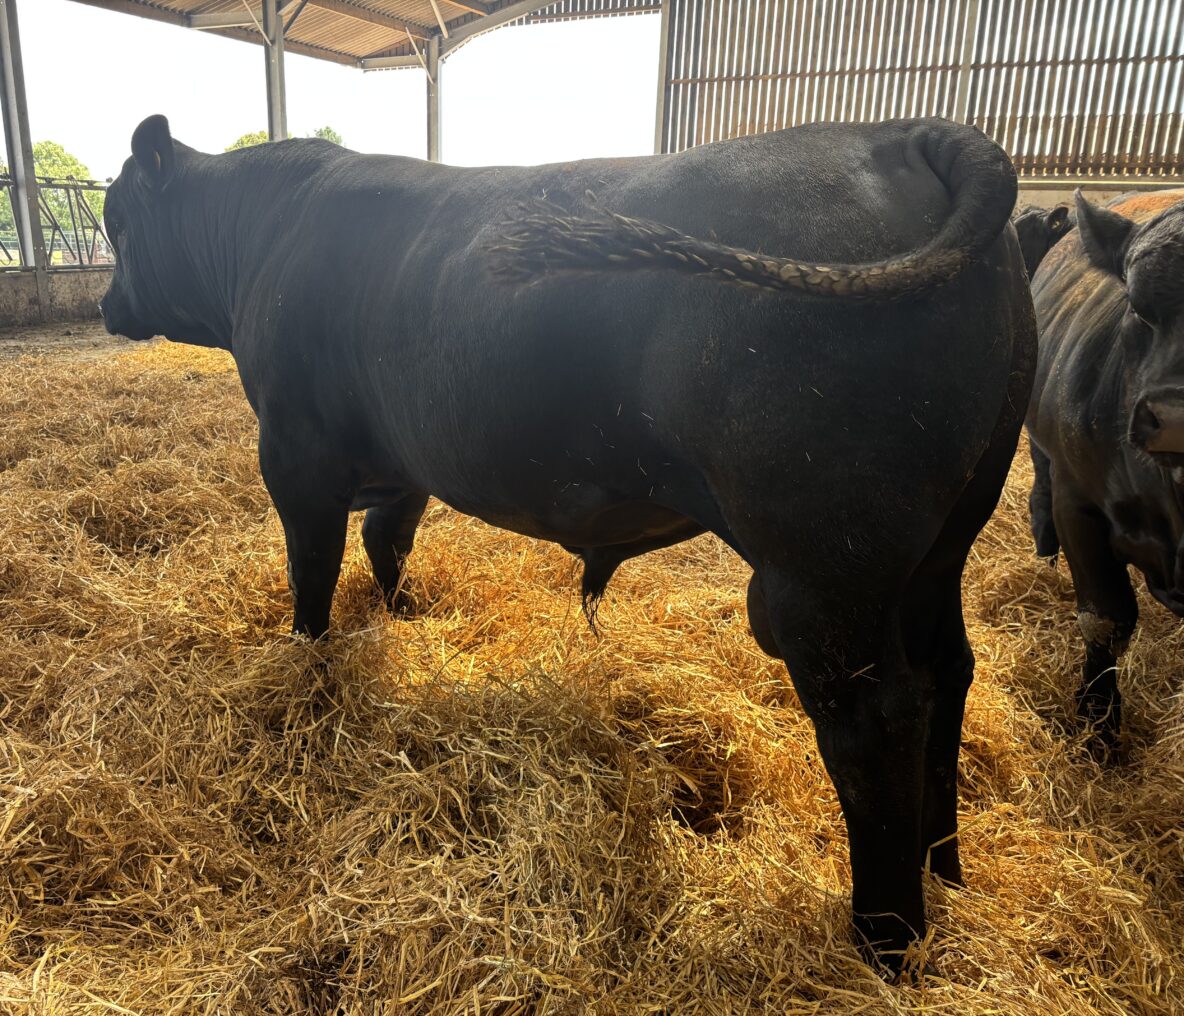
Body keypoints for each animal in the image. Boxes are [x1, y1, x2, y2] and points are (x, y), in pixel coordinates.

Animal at [100, 114, 1034, 971]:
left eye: (117, 222)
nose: (107, 304)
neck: (264, 234)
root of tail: (904, 132)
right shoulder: (402, 463)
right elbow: (387, 542)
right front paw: (404, 621)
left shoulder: (297, 458)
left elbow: (313, 571)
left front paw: (304, 660)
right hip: (936, 550)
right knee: (947, 675)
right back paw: (945, 869)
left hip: (823, 566)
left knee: (874, 721)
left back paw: (886, 939)